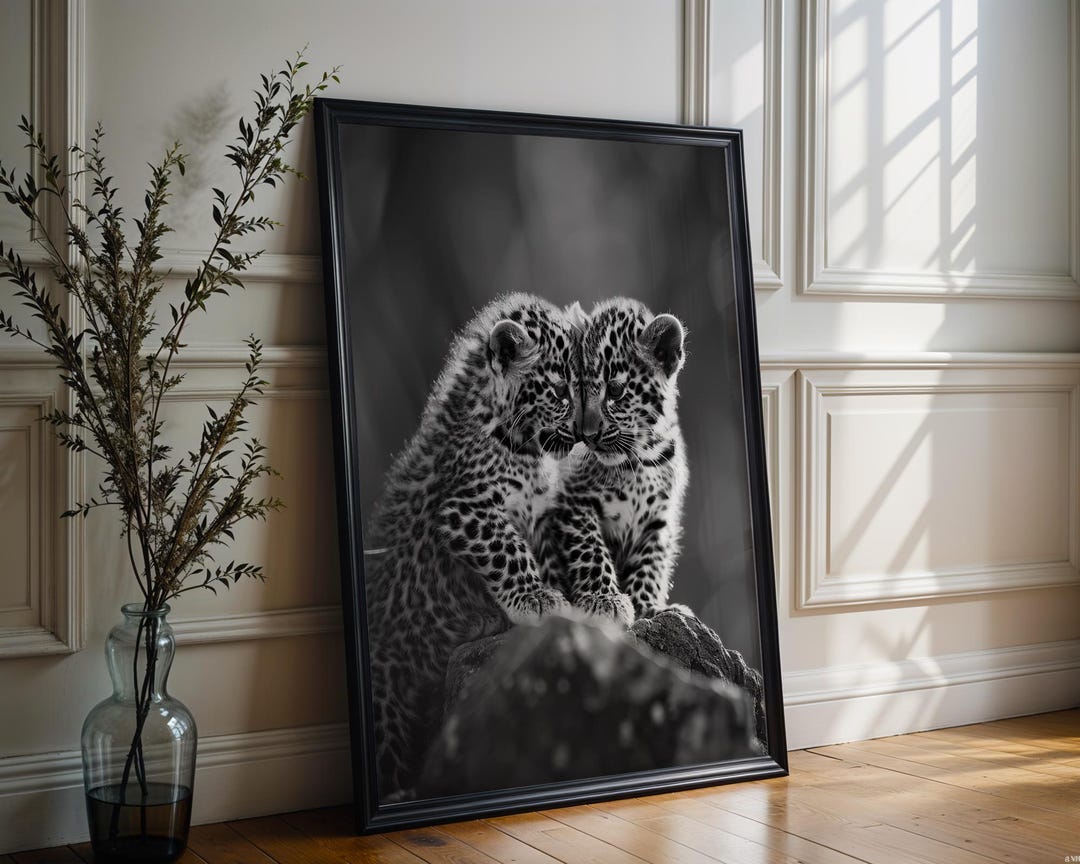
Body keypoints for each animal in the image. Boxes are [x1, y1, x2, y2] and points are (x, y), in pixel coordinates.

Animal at [363, 293, 582, 801]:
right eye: (561, 392)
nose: (586, 432)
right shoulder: (466, 511)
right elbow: (509, 550)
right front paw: (536, 600)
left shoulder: (542, 515)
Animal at [539, 296, 689, 628]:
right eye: (578, 391)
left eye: (616, 390)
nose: (588, 434)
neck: (639, 460)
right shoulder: (573, 502)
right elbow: (591, 550)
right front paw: (604, 600)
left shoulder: (659, 520)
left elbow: (650, 564)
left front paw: (647, 607)